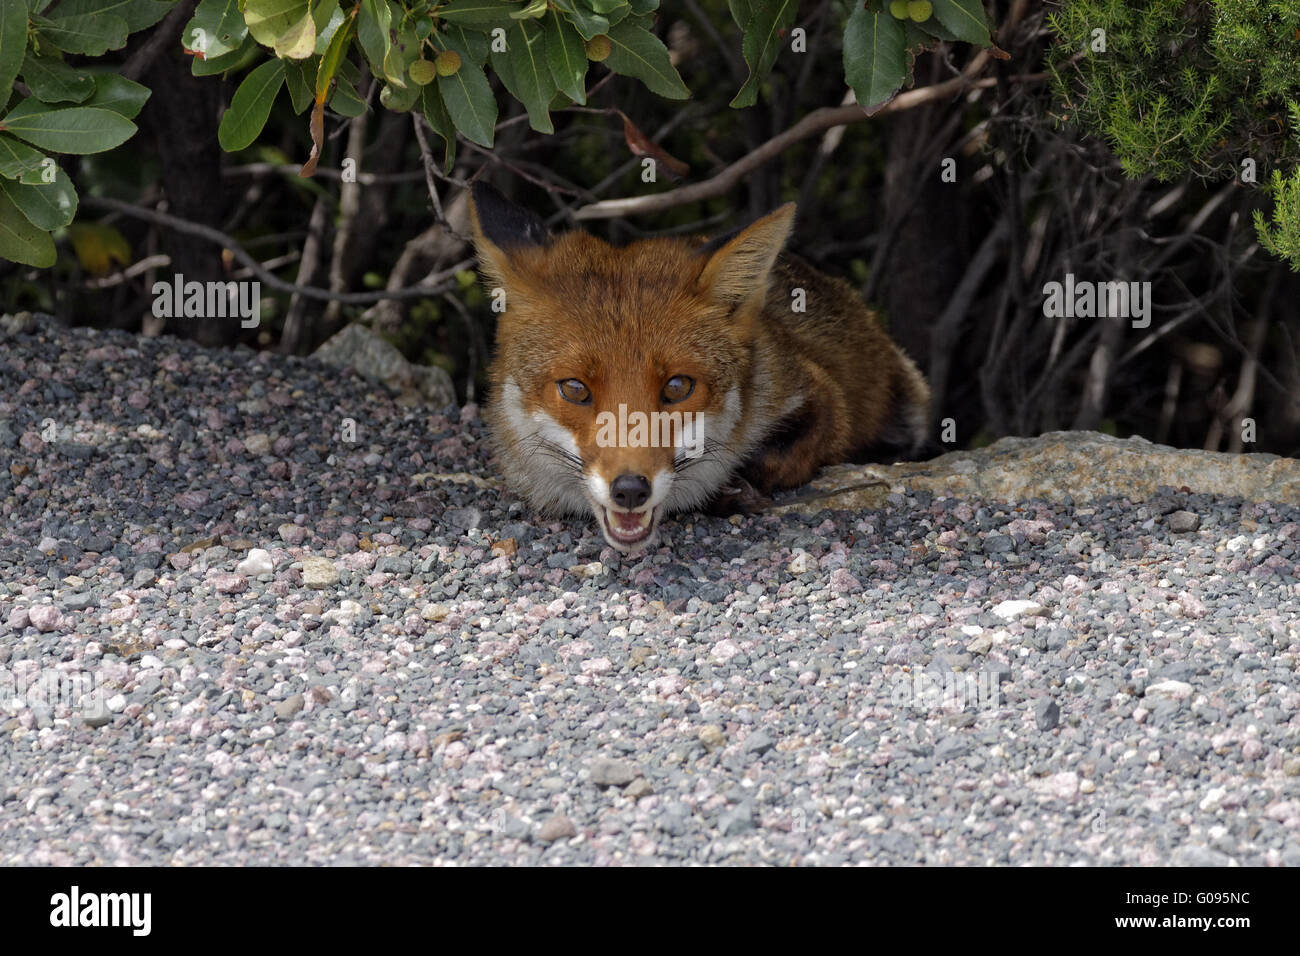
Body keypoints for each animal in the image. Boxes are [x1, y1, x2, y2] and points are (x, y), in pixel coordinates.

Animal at [468, 181, 931, 554]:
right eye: (575, 389)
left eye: (677, 387)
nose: (630, 490)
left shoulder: (820, 392)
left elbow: (786, 454)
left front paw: (732, 490)